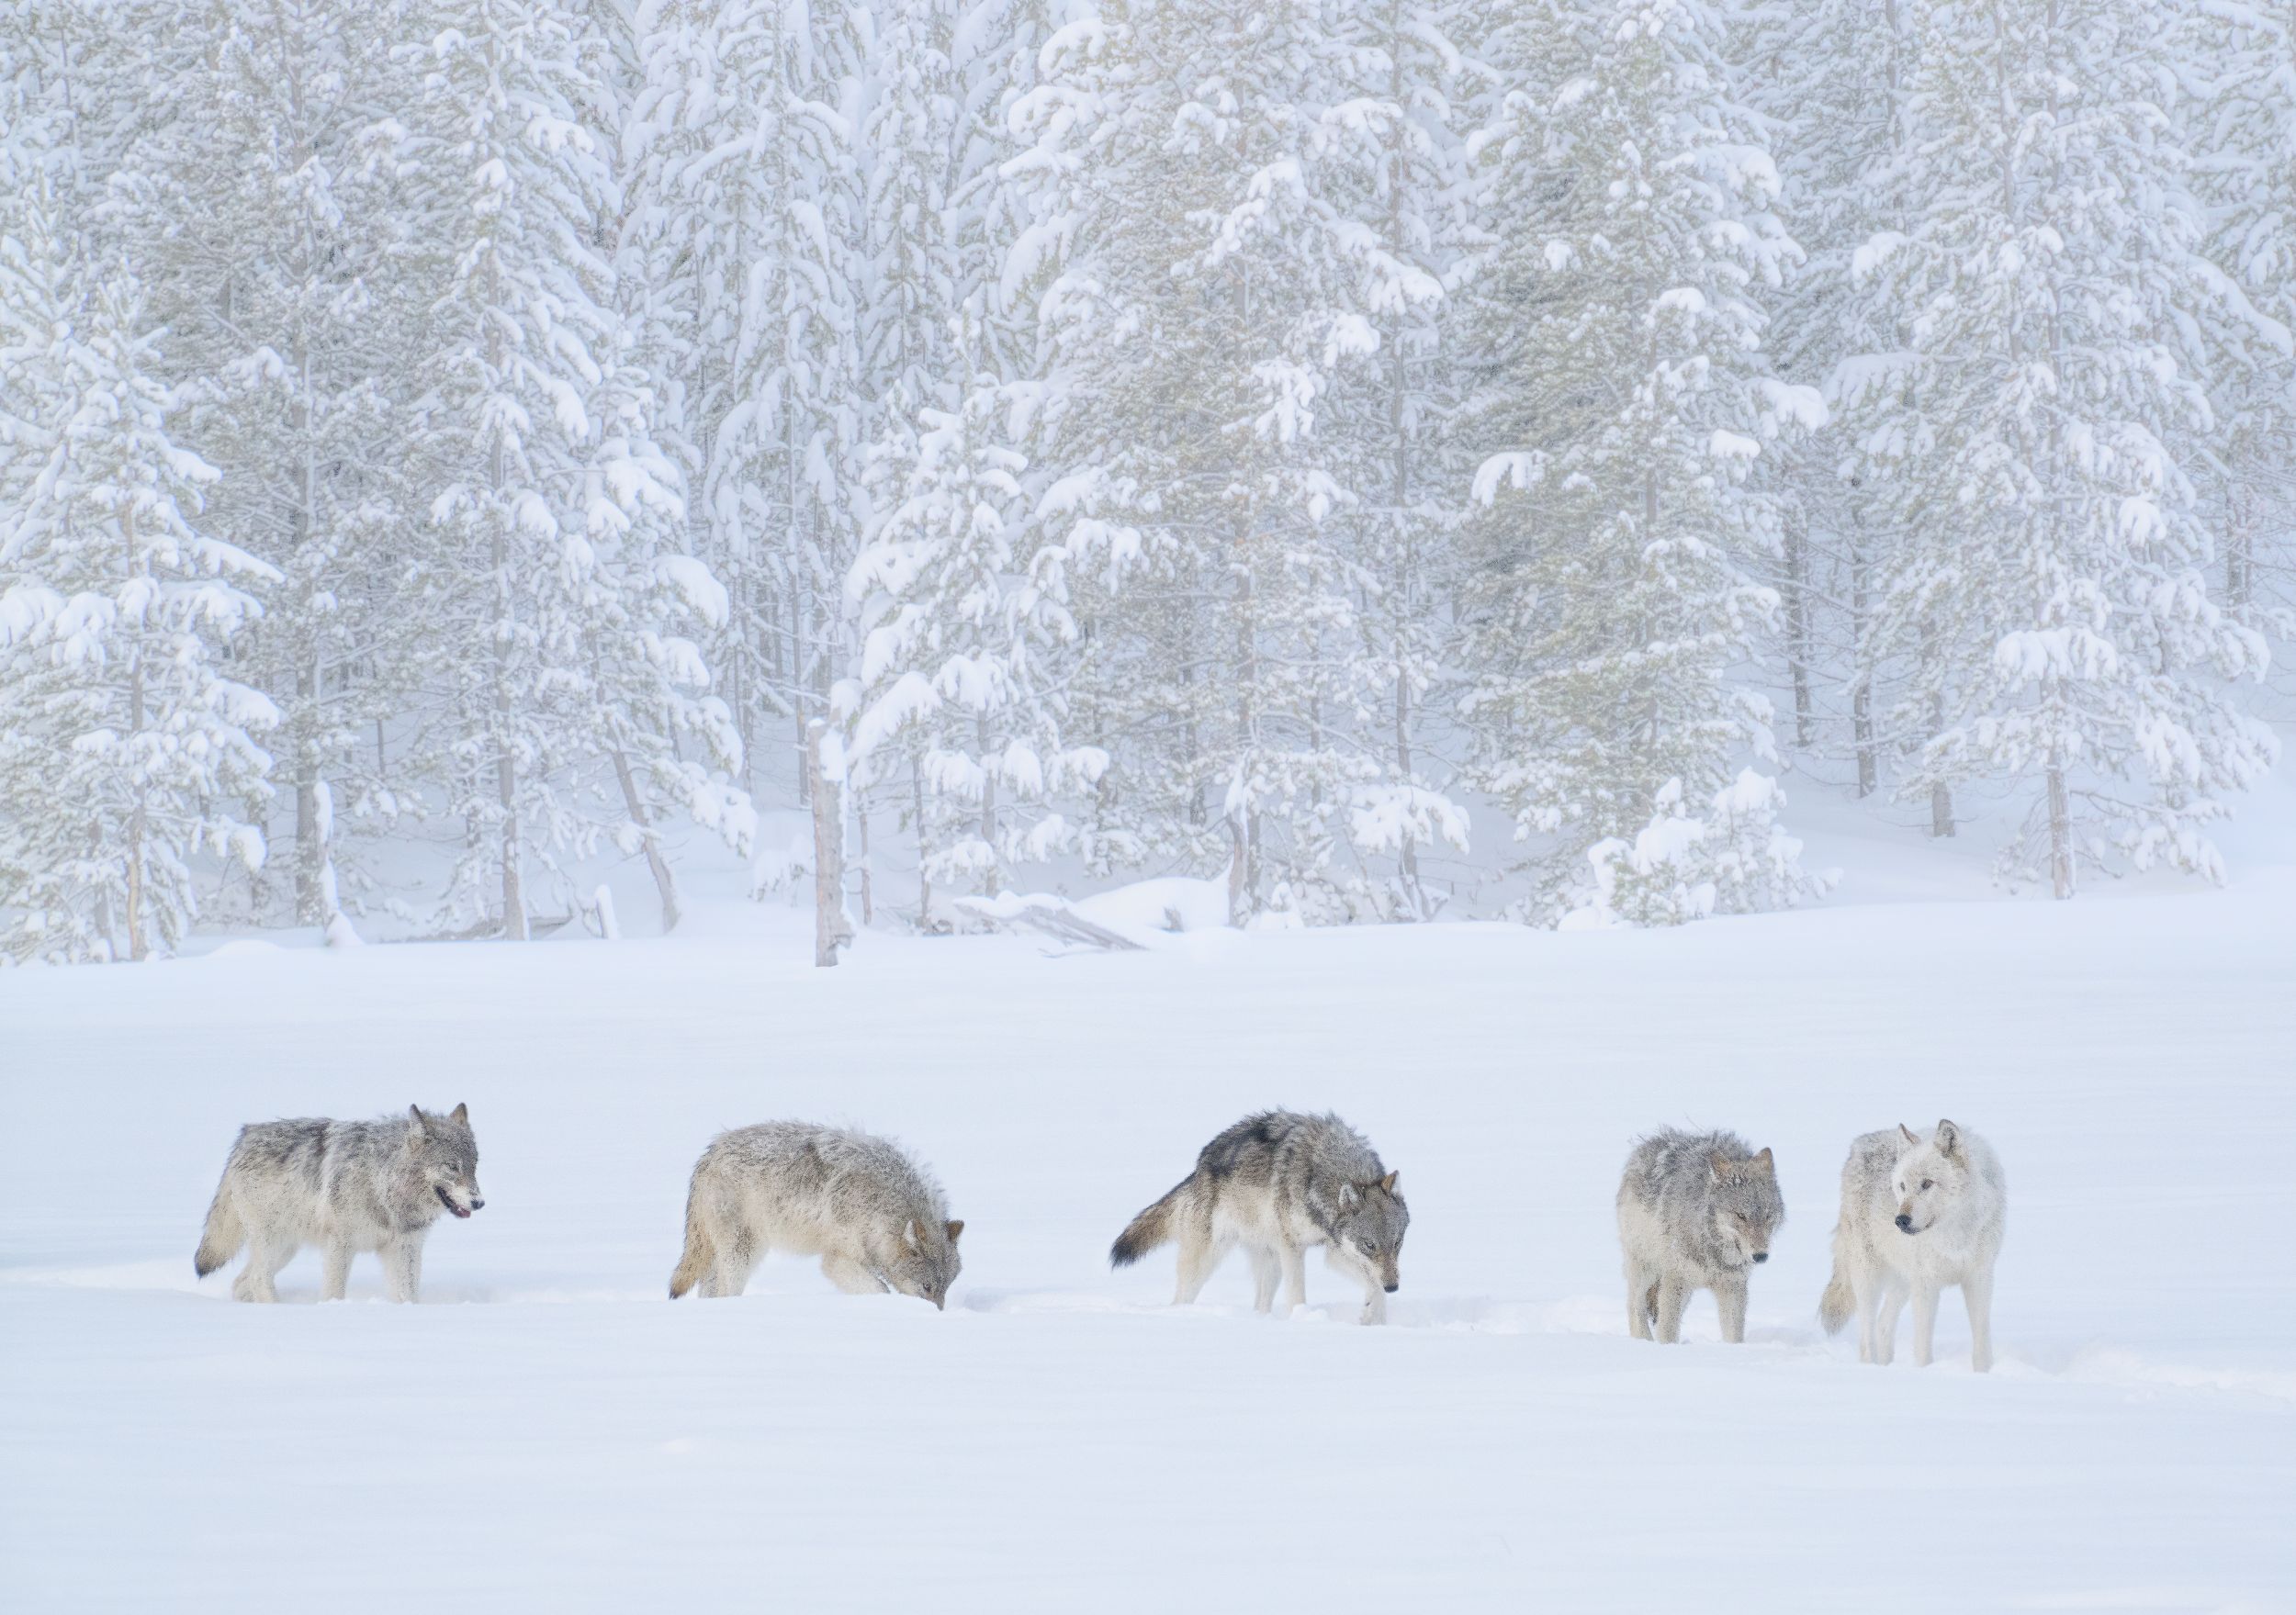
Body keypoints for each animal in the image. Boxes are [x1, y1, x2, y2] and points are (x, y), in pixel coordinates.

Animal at [194, 1104, 484, 1303]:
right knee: (257, 1279)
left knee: (241, 1282)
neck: (381, 1183)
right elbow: (334, 1291)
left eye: (474, 1167)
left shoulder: (404, 1248)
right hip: (272, 1242)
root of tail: (245, 1137)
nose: (479, 1202)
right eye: (452, 1167)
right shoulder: (340, 1245)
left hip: (285, 1249)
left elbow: (407, 1294)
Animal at [668, 1122, 963, 1308]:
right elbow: (880, 1288)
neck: (881, 1207)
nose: (937, 1313)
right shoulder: (836, 1259)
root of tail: (709, 1155)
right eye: (927, 1287)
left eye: (946, 1288)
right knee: (724, 1290)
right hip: (742, 1253)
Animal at [1109, 1110, 1408, 1325]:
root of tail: (1198, 1169)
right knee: (1181, 1296)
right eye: (1369, 1245)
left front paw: (1374, 1317)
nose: (1394, 1287)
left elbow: (1372, 1282)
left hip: (1269, 1262)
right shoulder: (1293, 1247)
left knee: (1260, 1305)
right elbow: (1298, 1294)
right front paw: (1302, 1319)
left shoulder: (1335, 1250)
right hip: (1206, 1261)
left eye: (1397, 1243)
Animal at [1617, 1128, 1784, 1344]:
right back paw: (1644, 1341)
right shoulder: (1675, 1280)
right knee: (1635, 1307)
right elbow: (1667, 1331)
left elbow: (1734, 1335)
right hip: (1645, 1268)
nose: (1761, 1256)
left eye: (1767, 1215)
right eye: (1741, 1215)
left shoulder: (1733, 1287)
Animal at [1819, 1119, 2006, 1372]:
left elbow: (1982, 1344)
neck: (1953, 1236)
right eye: (1902, 1186)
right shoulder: (1926, 1284)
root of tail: (1858, 1145)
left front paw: (1983, 1374)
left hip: (1903, 1280)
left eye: (1927, 1183)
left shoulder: (1979, 1279)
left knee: (1883, 1324)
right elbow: (1923, 1348)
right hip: (1868, 1276)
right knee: (1867, 1335)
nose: (1900, 1220)